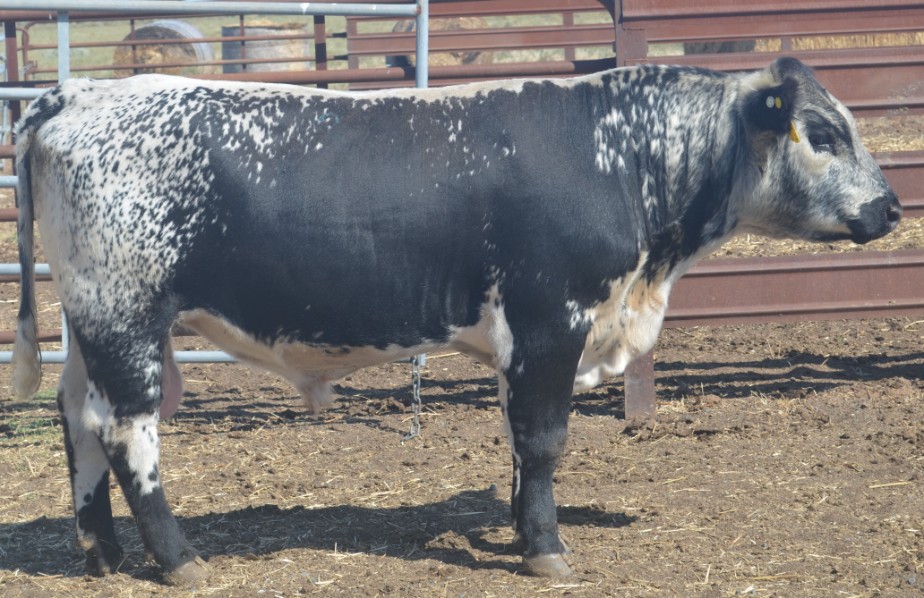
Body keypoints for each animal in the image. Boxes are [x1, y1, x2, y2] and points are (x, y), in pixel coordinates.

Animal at [12, 57, 899, 584]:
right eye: (823, 134)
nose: (891, 207)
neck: (621, 155)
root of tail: (80, 92)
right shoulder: (551, 318)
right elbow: (543, 440)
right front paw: (546, 551)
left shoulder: (522, 337)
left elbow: (515, 439)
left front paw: (517, 528)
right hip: (126, 313)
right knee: (127, 432)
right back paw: (177, 558)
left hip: (93, 323)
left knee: (77, 417)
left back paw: (102, 552)